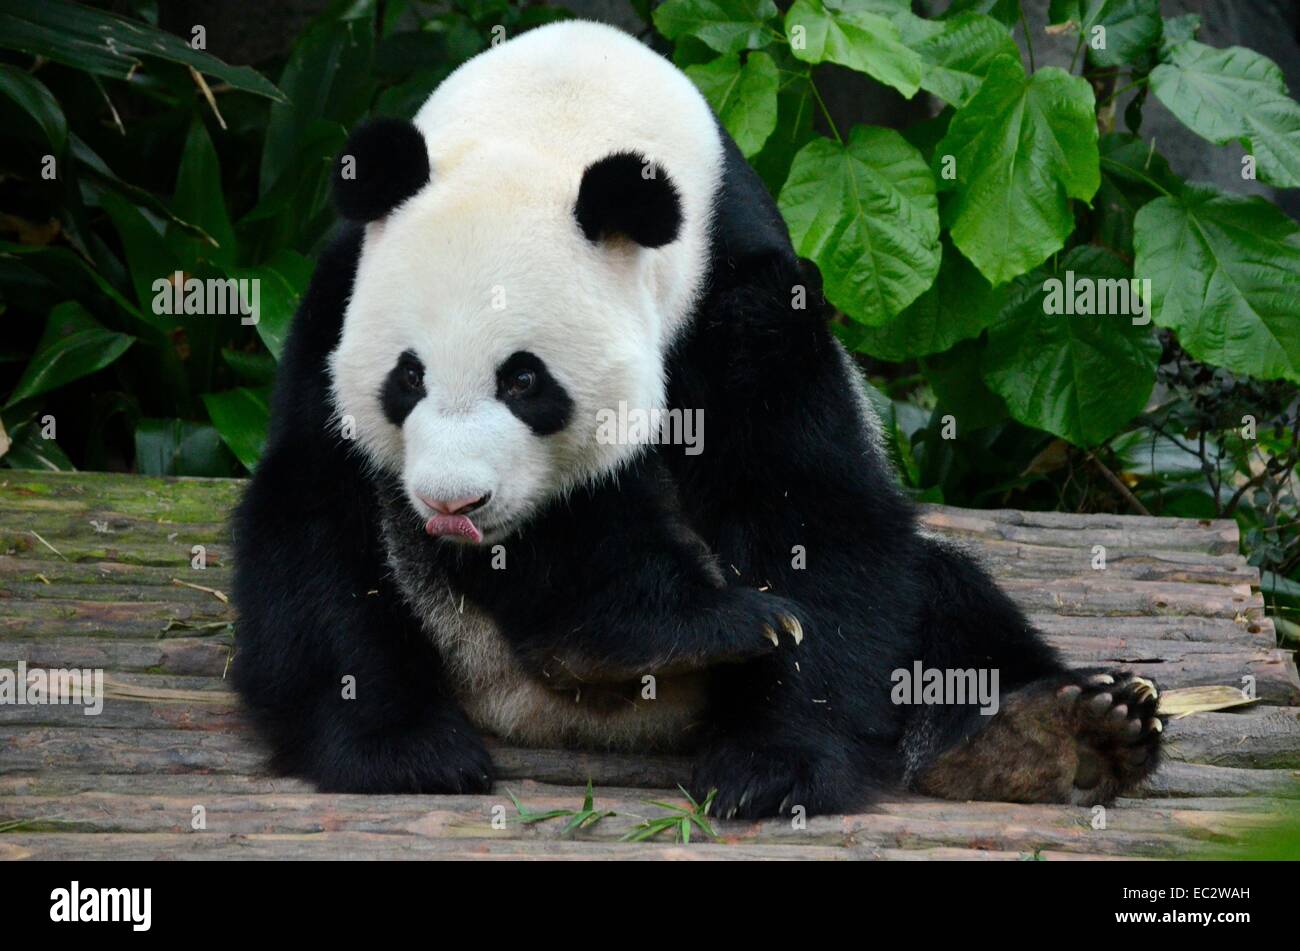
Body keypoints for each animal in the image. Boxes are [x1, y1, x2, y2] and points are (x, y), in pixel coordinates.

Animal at [232, 20, 1164, 817]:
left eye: (525, 381)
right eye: (407, 378)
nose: (453, 504)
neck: (555, 115)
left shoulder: (746, 287)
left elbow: (809, 504)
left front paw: (776, 765)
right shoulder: (339, 290)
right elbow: (316, 507)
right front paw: (395, 746)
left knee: (943, 592)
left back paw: (1057, 732)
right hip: (461, 635)